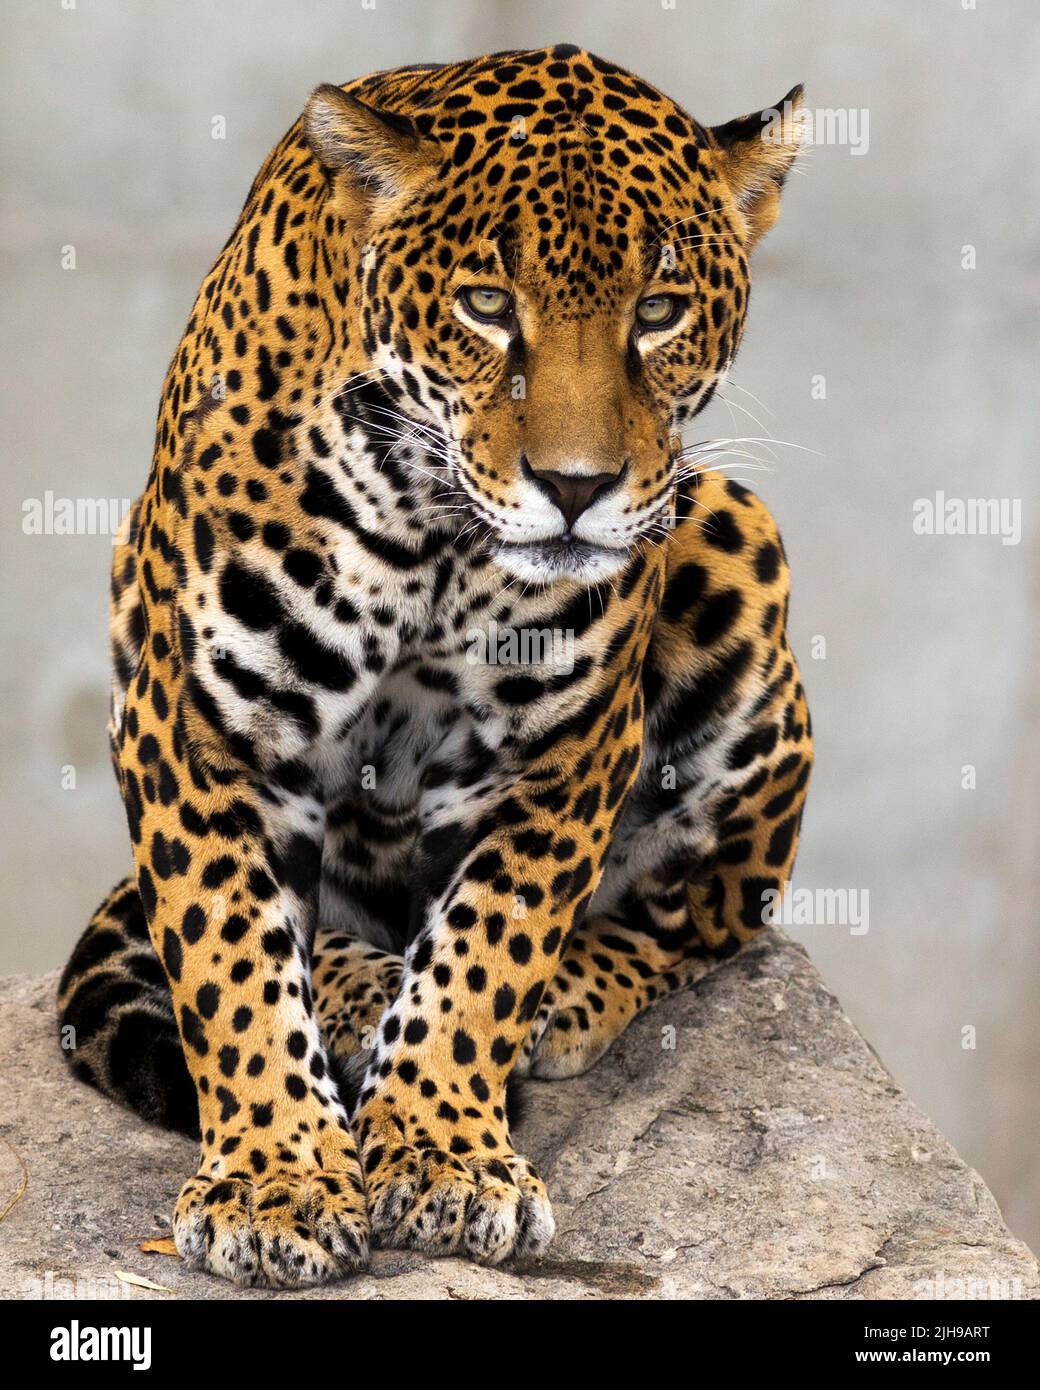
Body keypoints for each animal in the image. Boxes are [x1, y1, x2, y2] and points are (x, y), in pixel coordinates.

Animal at [56, 45, 813, 1288]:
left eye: (657, 313)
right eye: (486, 307)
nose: (574, 487)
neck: (434, 535)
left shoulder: (559, 749)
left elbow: (486, 955)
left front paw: (446, 1155)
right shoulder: (198, 719)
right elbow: (229, 955)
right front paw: (275, 1179)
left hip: (724, 528)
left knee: (704, 916)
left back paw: (558, 992)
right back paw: (357, 990)